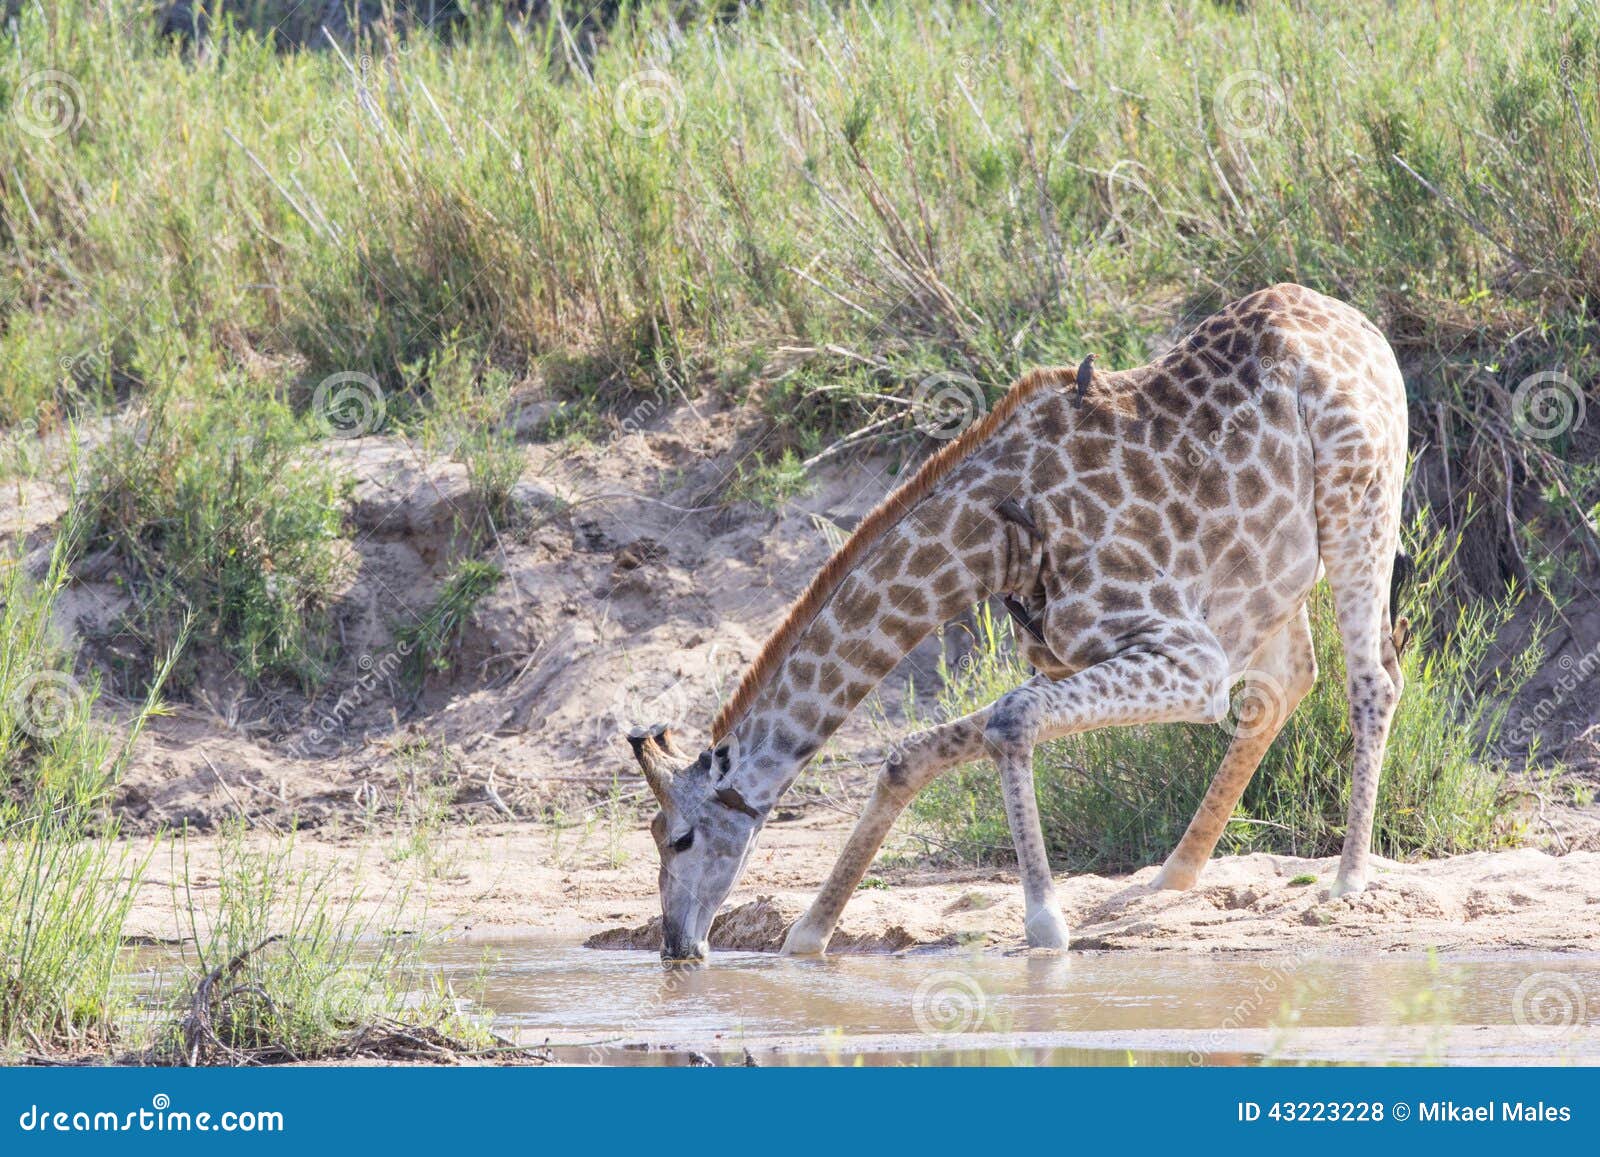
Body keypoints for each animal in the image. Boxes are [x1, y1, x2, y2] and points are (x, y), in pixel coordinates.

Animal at [628, 283, 1409, 962]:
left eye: (680, 838)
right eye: (656, 833)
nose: (676, 945)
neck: (993, 541)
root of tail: (1365, 328)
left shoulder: (1191, 661)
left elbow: (1008, 723)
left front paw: (1044, 924)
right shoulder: (1074, 655)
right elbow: (917, 750)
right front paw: (808, 934)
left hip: (1360, 504)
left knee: (1373, 680)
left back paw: (1348, 879)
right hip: (1272, 579)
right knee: (1285, 683)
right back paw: (1173, 875)